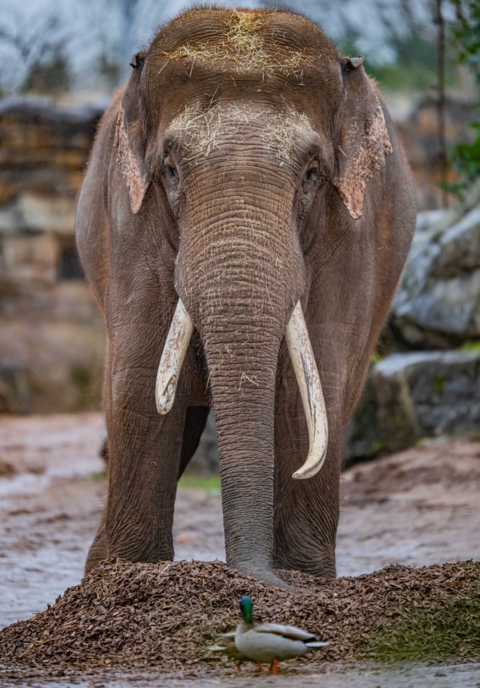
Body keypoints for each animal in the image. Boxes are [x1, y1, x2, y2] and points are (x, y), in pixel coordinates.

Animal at [76, 7, 416, 588]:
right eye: (171, 170)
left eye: (311, 174)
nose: (259, 581)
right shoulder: (128, 217)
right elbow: (138, 381)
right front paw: (131, 572)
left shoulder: (353, 229)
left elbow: (313, 386)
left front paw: (302, 579)